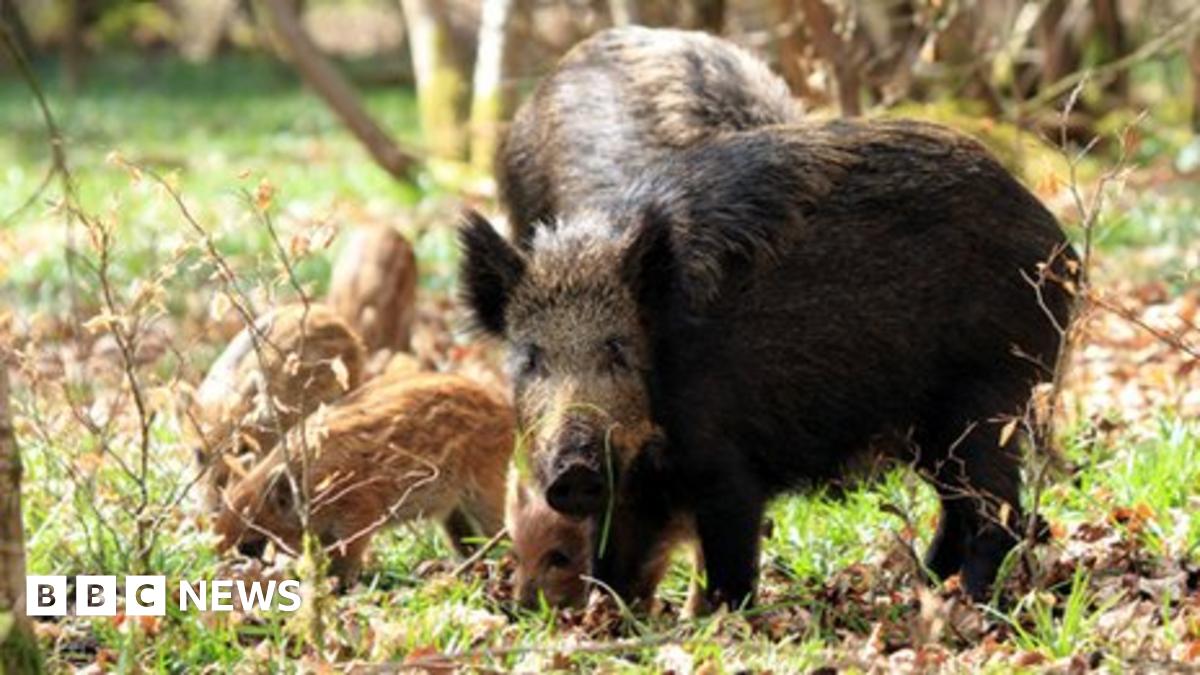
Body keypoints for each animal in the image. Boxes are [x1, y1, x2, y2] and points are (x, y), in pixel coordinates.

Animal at [213, 372, 514, 585]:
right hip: (451, 509)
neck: (313, 483)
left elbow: (348, 552)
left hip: (487, 483)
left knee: (499, 529)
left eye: (250, 545)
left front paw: (339, 584)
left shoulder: (360, 508)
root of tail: (505, 408)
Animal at [460, 119, 1077, 608]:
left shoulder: (728, 469)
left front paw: (719, 621)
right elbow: (614, 569)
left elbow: (729, 564)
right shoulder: (626, 496)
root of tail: (1057, 244)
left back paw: (967, 603)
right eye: (531, 358)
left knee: (996, 515)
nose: (574, 470)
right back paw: (923, 589)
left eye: (618, 349)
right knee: (959, 513)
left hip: (989, 395)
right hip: (933, 429)